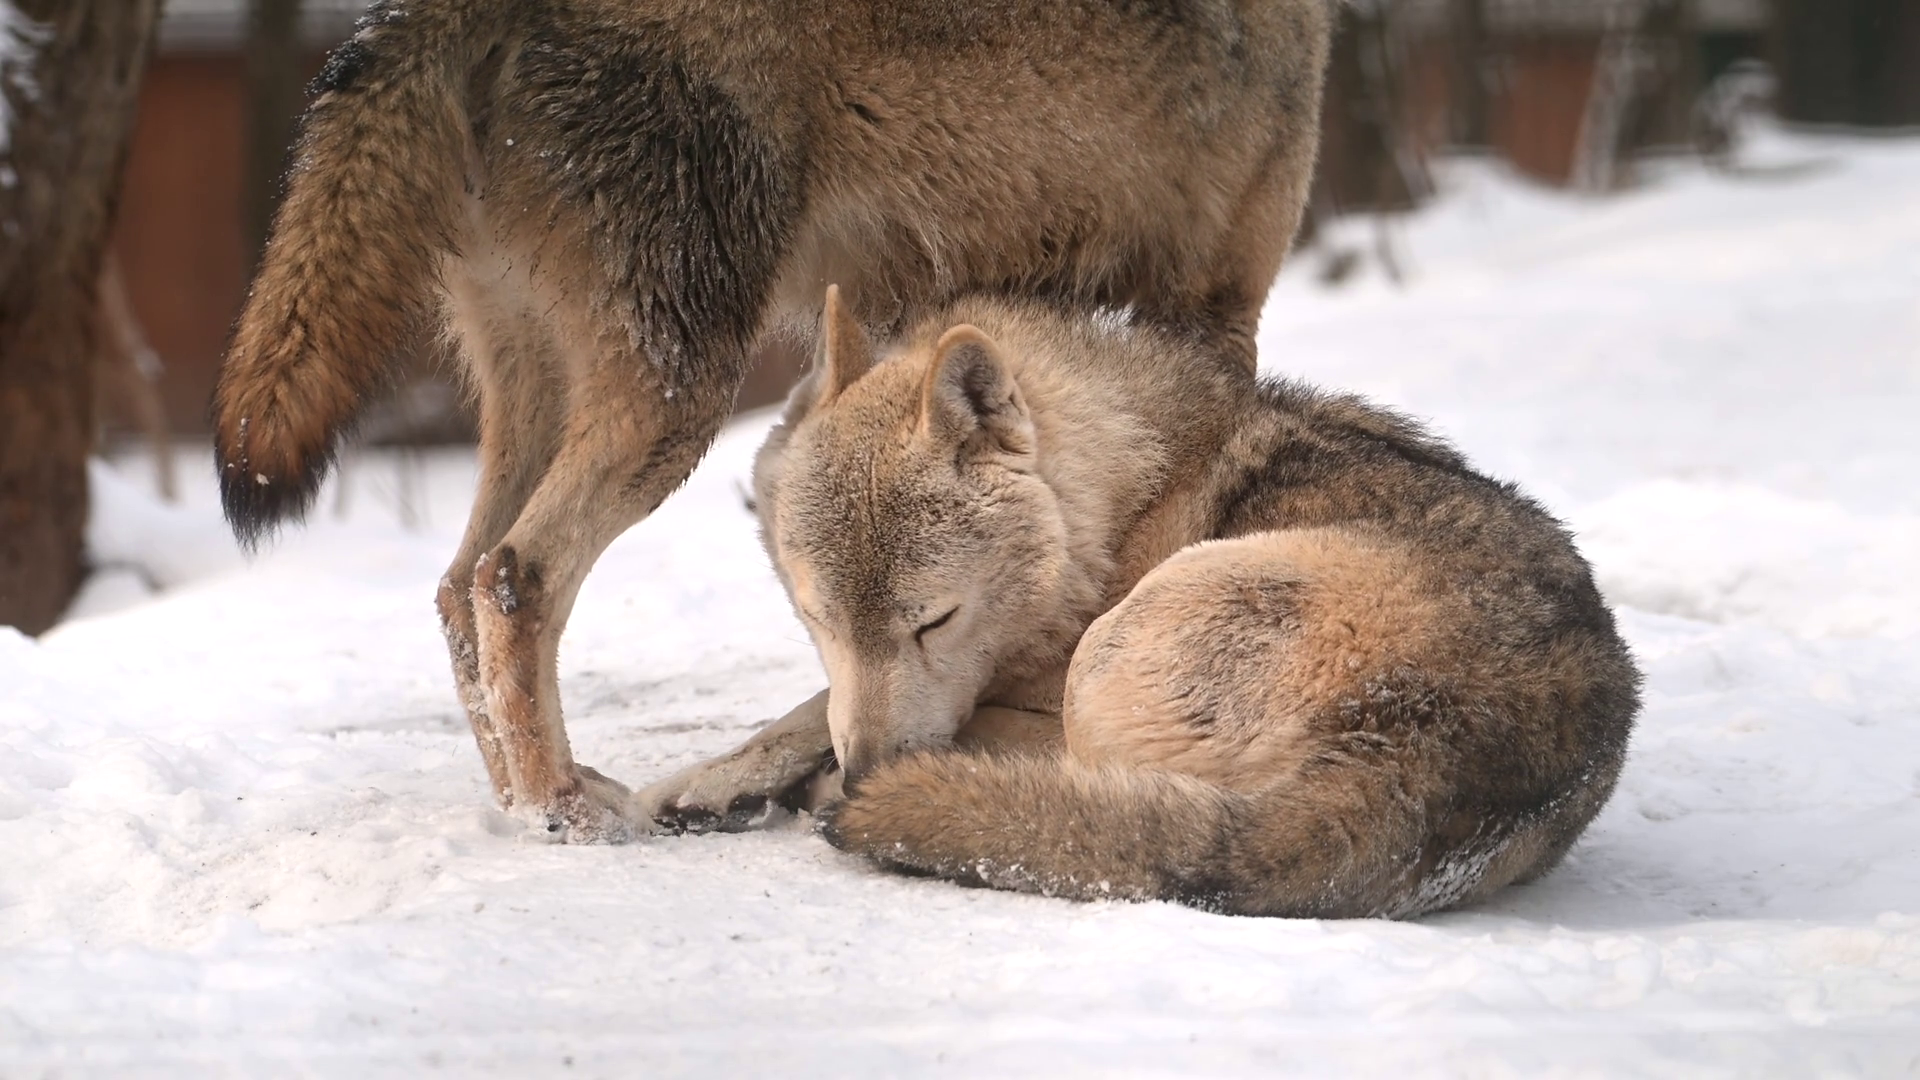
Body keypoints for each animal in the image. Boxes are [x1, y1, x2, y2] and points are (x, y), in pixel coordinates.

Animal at [210, 0, 1335, 840]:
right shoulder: (1214, 314)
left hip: (546, 376)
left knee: (456, 585)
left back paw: (521, 804)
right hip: (677, 395)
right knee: (513, 576)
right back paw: (563, 812)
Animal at [648, 289, 1640, 918]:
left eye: (935, 621)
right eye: (817, 620)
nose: (866, 771)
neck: (1124, 497)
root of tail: (1428, 760)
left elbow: (825, 710)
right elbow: (818, 700)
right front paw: (701, 784)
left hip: (1117, 651)